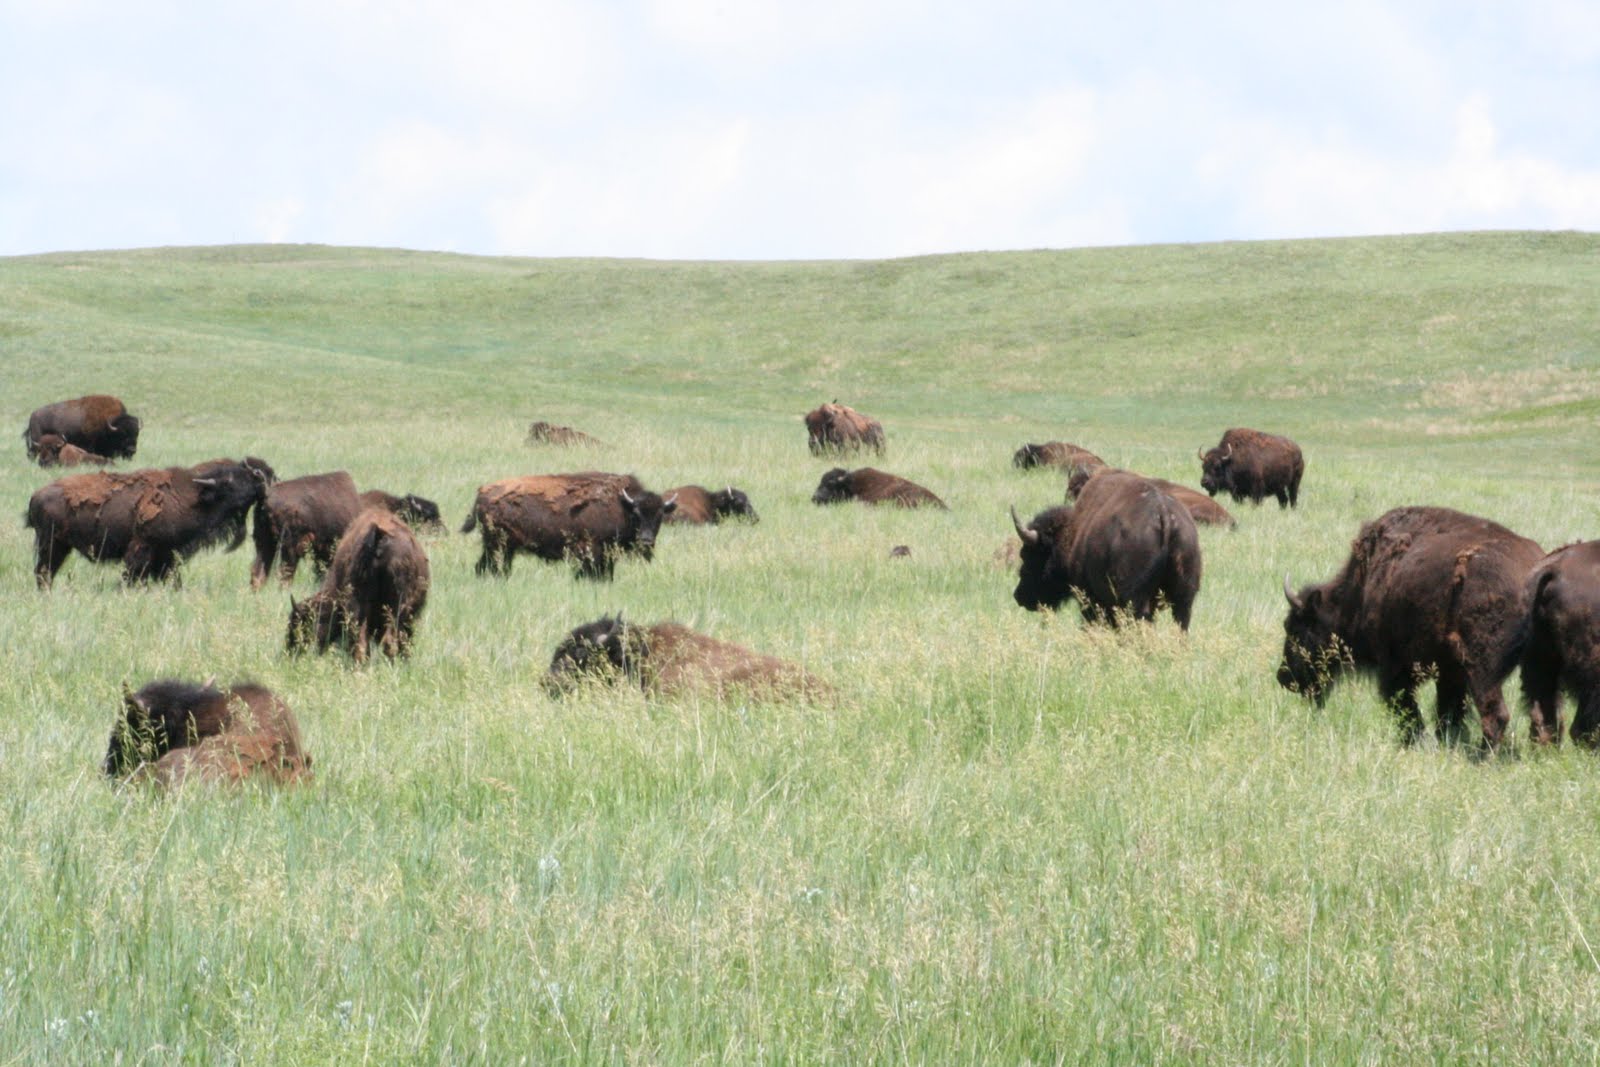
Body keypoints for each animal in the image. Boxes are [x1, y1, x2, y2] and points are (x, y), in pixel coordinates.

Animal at [27, 458, 271, 588]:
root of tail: (36, 495)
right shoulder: (144, 547)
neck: (194, 497)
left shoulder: (168, 554)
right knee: (43, 571)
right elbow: (135, 574)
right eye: (230, 481)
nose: (259, 478)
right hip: (51, 545)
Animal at [288, 508, 430, 662]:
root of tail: (378, 538)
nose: (292, 653)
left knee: (361, 643)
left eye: (302, 627)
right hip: (398, 609)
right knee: (389, 641)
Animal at [461, 471, 676, 579]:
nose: (646, 540)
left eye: (660, 516)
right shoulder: (591, 550)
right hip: (498, 546)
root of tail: (482, 493)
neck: (622, 505)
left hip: (500, 548)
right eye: (637, 515)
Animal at [1012, 469, 1202, 629]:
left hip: (1134, 601)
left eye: (1026, 555)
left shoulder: (1090, 599)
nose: (1018, 596)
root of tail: (1163, 513)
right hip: (1184, 599)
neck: (1073, 530)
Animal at [1278, 506, 1544, 749]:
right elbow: (1447, 710)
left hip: (1482, 669)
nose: (1283, 677)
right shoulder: (1449, 671)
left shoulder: (1396, 666)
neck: (1361, 588)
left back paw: (1483, 757)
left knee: (1496, 714)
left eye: (1294, 629)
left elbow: (1406, 706)